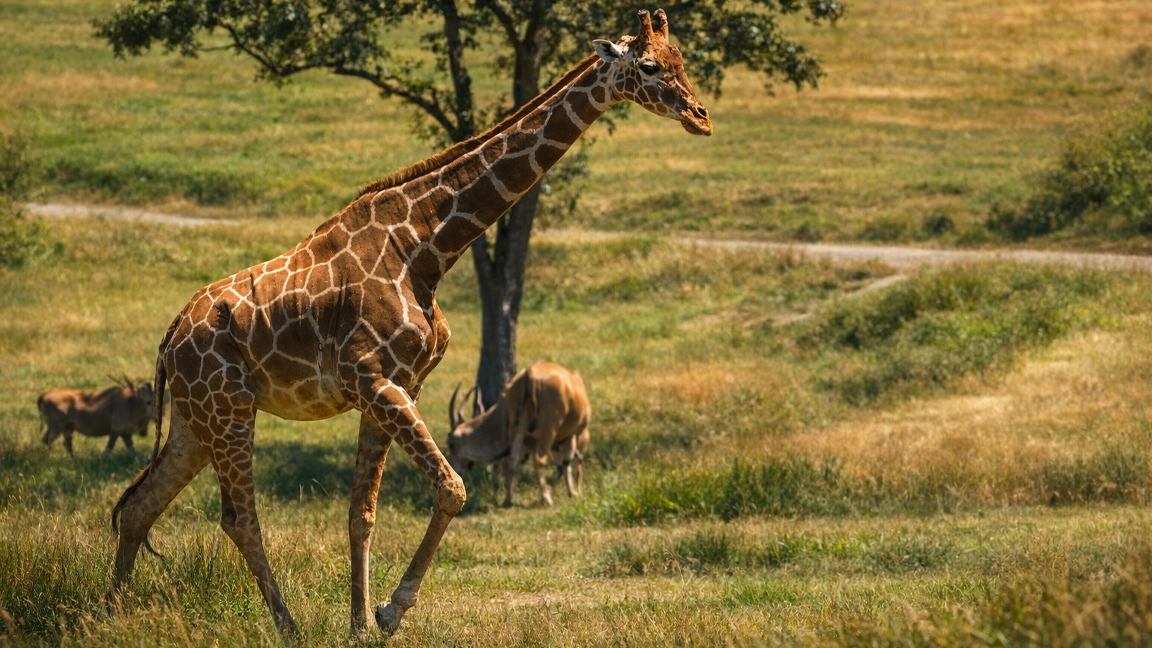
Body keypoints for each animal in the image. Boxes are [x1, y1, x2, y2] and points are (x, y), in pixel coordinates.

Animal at [107, 8, 711, 639]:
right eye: (649, 65)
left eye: (683, 60)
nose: (701, 117)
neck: (427, 246)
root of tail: (170, 337)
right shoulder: (374, 380)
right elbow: (452, 487)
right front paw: (391, 610)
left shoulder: (396, 385)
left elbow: (362, 512)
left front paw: (360, 624)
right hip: (228, 409)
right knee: (237, 518)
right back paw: (286, 625)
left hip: (195, 420)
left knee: (140, 505)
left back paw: (110, 616)